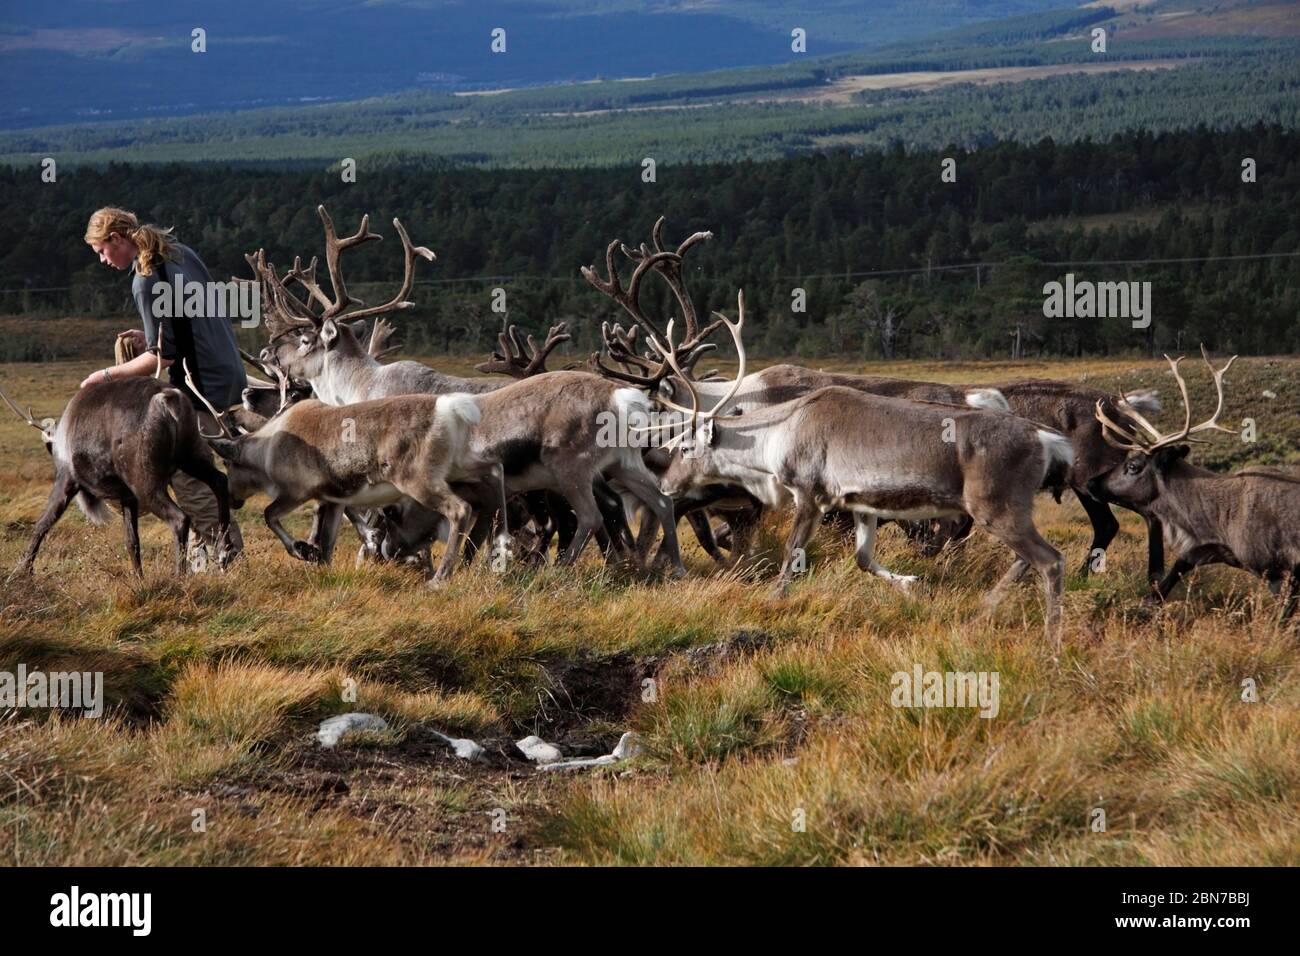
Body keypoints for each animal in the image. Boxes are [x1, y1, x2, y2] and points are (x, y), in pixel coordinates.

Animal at [1, 374, 232, 578]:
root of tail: (169, 401)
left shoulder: (66, 477)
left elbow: (43, 524)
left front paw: (23, 571)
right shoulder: (127, 496)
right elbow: (132, 541)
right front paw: (139, 579)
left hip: (145, 480)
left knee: (180, 518)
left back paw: (179, 575)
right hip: (190, 454)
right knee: (220, 481)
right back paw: (224, 550)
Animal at [644, 292, 1074, 644]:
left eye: (686, 445)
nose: (664, 483)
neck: (776, 436)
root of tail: (1047, 439)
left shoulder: (810, 494)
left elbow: (791, 555)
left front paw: (773, 599)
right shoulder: (862, 503)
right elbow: (863, 559)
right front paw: (911, 583)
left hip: (994, 506)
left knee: (1049, 560)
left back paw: (1051, 641)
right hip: (1009, 509)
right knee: (1027, 558)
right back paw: (986, 607)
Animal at [1089, 347, 1300, 620]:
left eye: (1133, 465)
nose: (1092, 481)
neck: (1218, 517)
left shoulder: (1275, 568)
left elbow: (1283, 616)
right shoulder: (1214, 546)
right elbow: (1181, 563)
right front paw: (1149, 599)